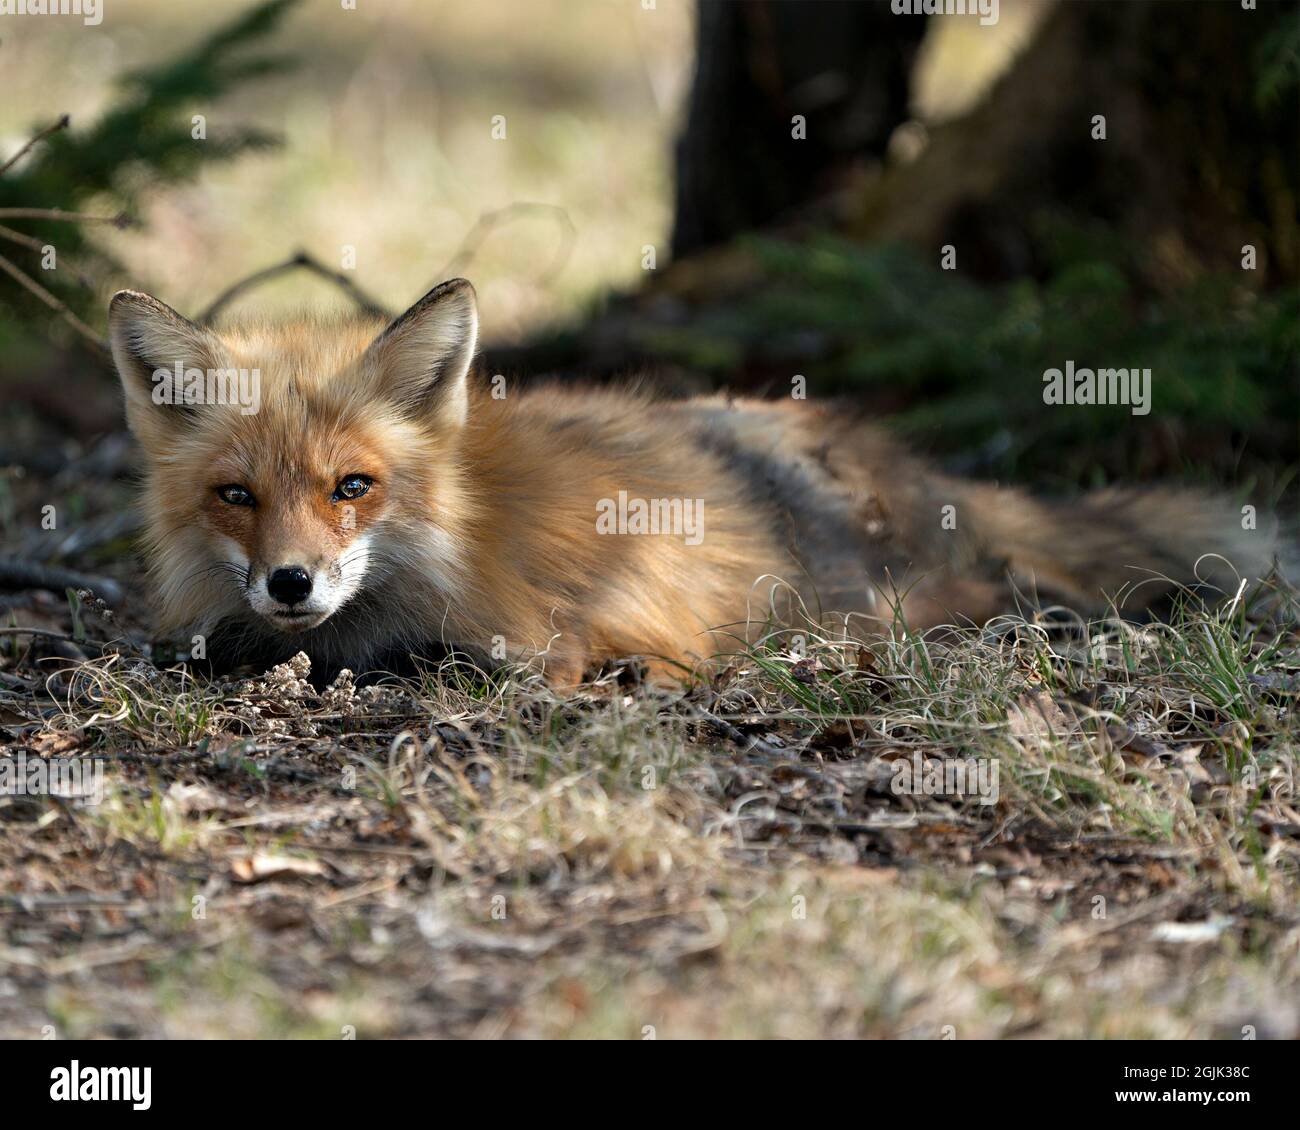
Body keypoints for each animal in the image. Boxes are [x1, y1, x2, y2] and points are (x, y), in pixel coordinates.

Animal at [108, 277, 1278, 689]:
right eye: (236, 496)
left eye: (353, 486)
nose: (291, 583)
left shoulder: (594, 608)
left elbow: (554, 655)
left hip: (870, 590)